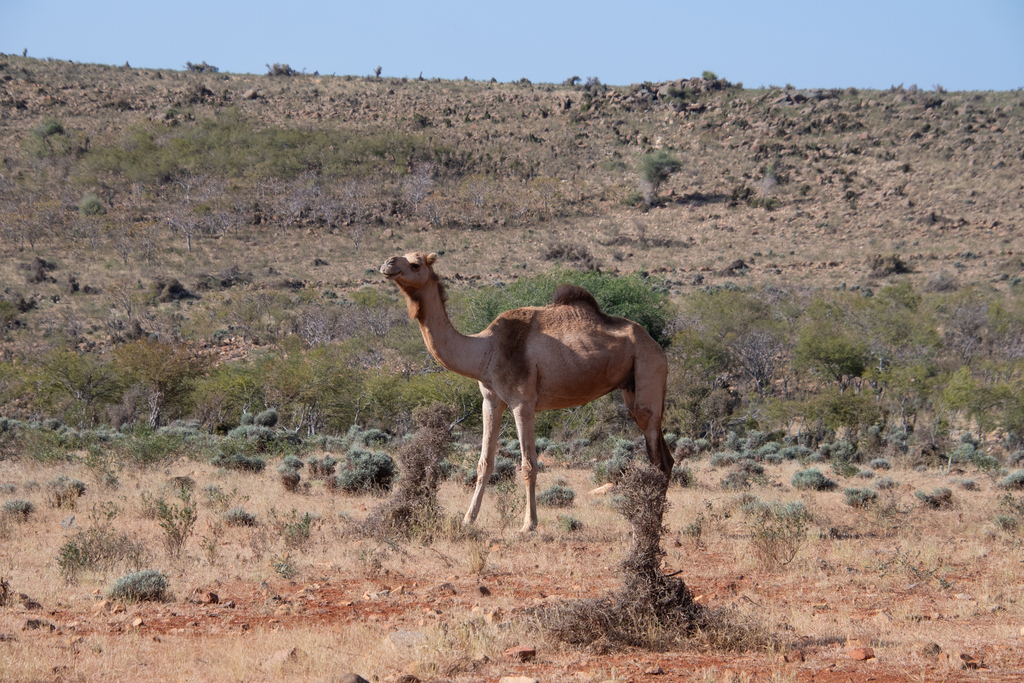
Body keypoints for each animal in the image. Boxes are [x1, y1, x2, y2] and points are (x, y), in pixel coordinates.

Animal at [380, 252, 673, 532]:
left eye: (416, 264)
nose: (387, 264)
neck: (485, 350)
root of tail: (657, 346)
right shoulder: (491, 400)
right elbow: (484, 462)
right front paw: (467, 520)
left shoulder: (523, 402)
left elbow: (528, 464)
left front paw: (528, 524)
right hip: (632, 388)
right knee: (666, 458)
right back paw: (653, 520)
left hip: (648, 370)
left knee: (657, 458)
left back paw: (648, 524)